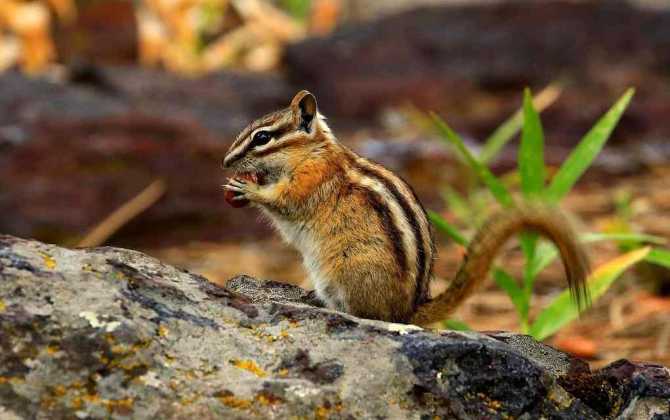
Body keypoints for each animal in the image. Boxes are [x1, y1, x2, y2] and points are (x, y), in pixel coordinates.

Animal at [223, 90, 590, 326]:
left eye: (262, 138)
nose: (226, 161)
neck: (312, 153)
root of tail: (408, 311)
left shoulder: (312, 180)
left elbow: (285, 202)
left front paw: (247, 188)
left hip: (348, 270)